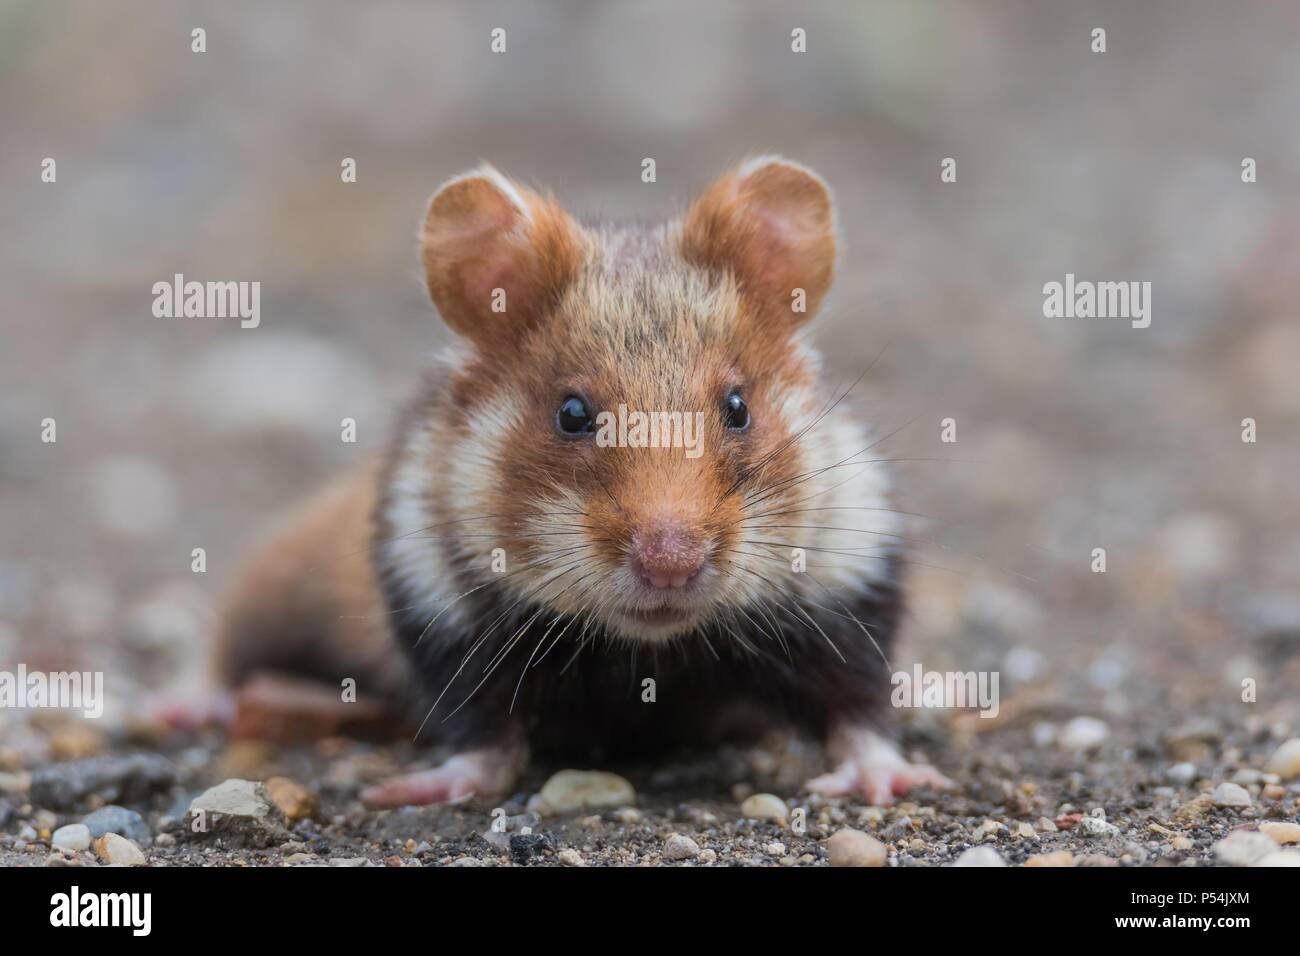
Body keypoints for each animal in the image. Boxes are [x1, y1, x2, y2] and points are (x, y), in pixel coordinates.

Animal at [213, 156, 951, 807]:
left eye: (739, 407)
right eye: (571, 413)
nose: (671, 565)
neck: (653, 653)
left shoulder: (849, 584)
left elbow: (858, 709)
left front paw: (896, 782)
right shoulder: (441, 606)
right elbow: (483, 738)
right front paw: (405, 793)